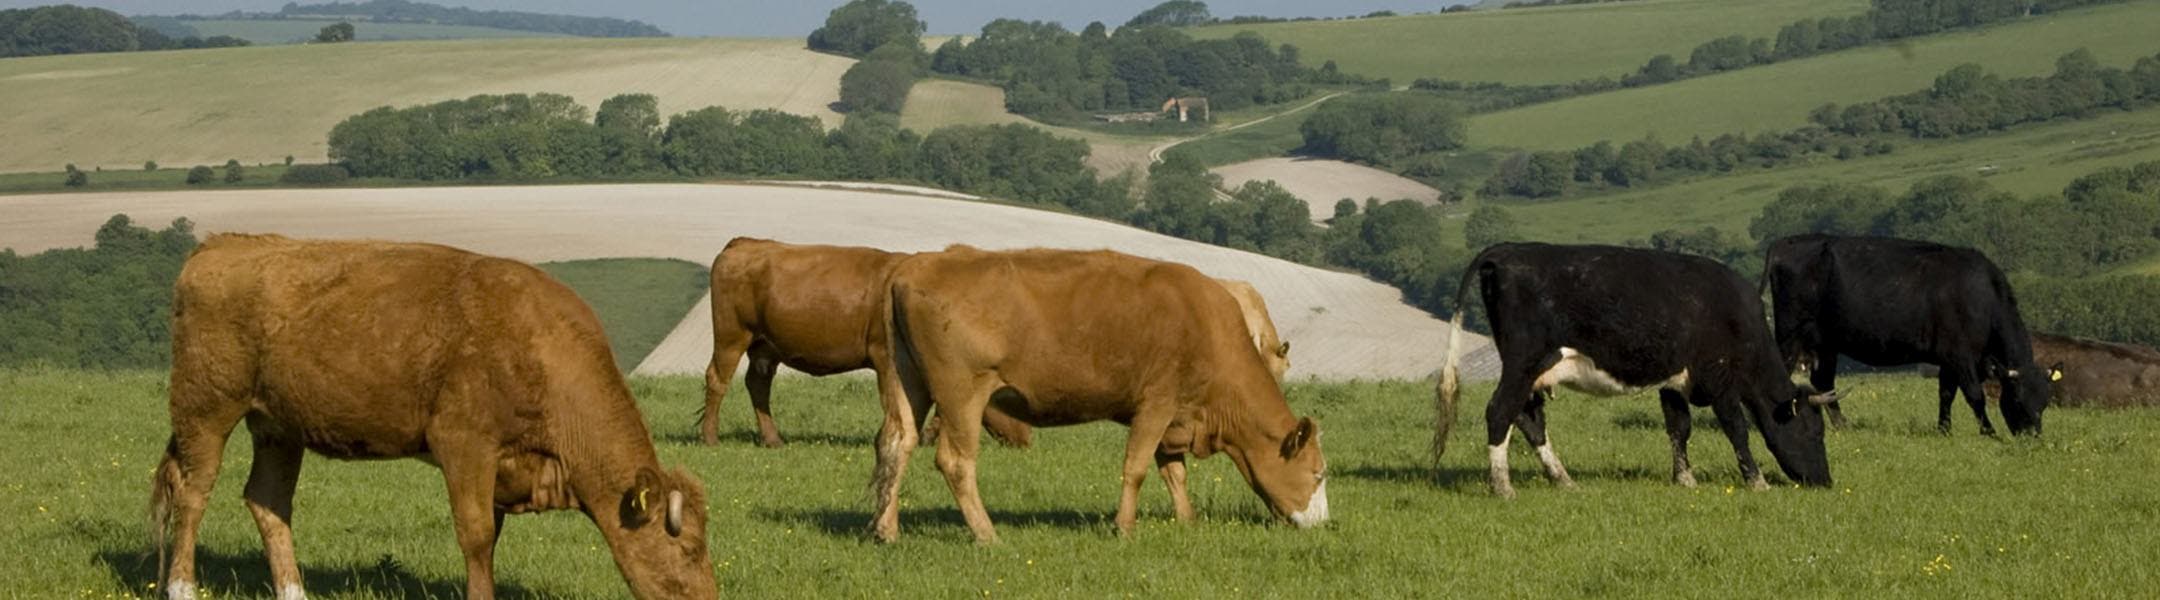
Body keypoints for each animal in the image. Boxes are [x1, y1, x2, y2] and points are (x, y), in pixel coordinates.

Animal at [150, 234, 713, 600]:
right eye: (687, 549)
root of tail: (225, 243)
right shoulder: (464, 444)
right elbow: (476, 536)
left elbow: (490, 538)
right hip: (205, 408)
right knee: (194, 493)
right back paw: (182, 587)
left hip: (279, 428)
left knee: (267, 502)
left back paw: (294, 593)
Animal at [864, 247, 1328, 544]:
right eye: (1319, 474)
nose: (1323, 524)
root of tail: (914, 267)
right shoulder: (1156, 403)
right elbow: (1137, 468)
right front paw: (1124, 528)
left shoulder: (1175, 417)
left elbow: (1173, 472)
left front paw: (1187, 520)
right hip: (962, 393)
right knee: (956, 462)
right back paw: (986, 533)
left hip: (908, 384)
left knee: (896, 444)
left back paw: (887, 530)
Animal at [1435, 243, 1834, 498]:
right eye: (1815, 432)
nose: (1825, 481)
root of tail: (1504, 252)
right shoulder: (1719, 380)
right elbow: (1737, 430)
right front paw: (1756, 481)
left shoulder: (1675, 381)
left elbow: (1679, 428)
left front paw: (1684, 478)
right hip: (1523, 361)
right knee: (1499, 411)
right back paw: (1503, 486)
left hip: (1530, 371)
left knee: (1528, 419)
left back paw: (1563, 480)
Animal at [1764, 234, 2052, 435]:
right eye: (2018, 400)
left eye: (2044, 404)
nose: (2032, 436)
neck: (1982, 299)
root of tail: (1786, 243)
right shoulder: (1960, 356)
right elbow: (1974, 396)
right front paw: (1989, 432)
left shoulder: (1948, 360)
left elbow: (1946, 394)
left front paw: (1944, 430)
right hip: (1791, 334)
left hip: (1825, 342)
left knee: (1823, 381)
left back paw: (1843, 425)